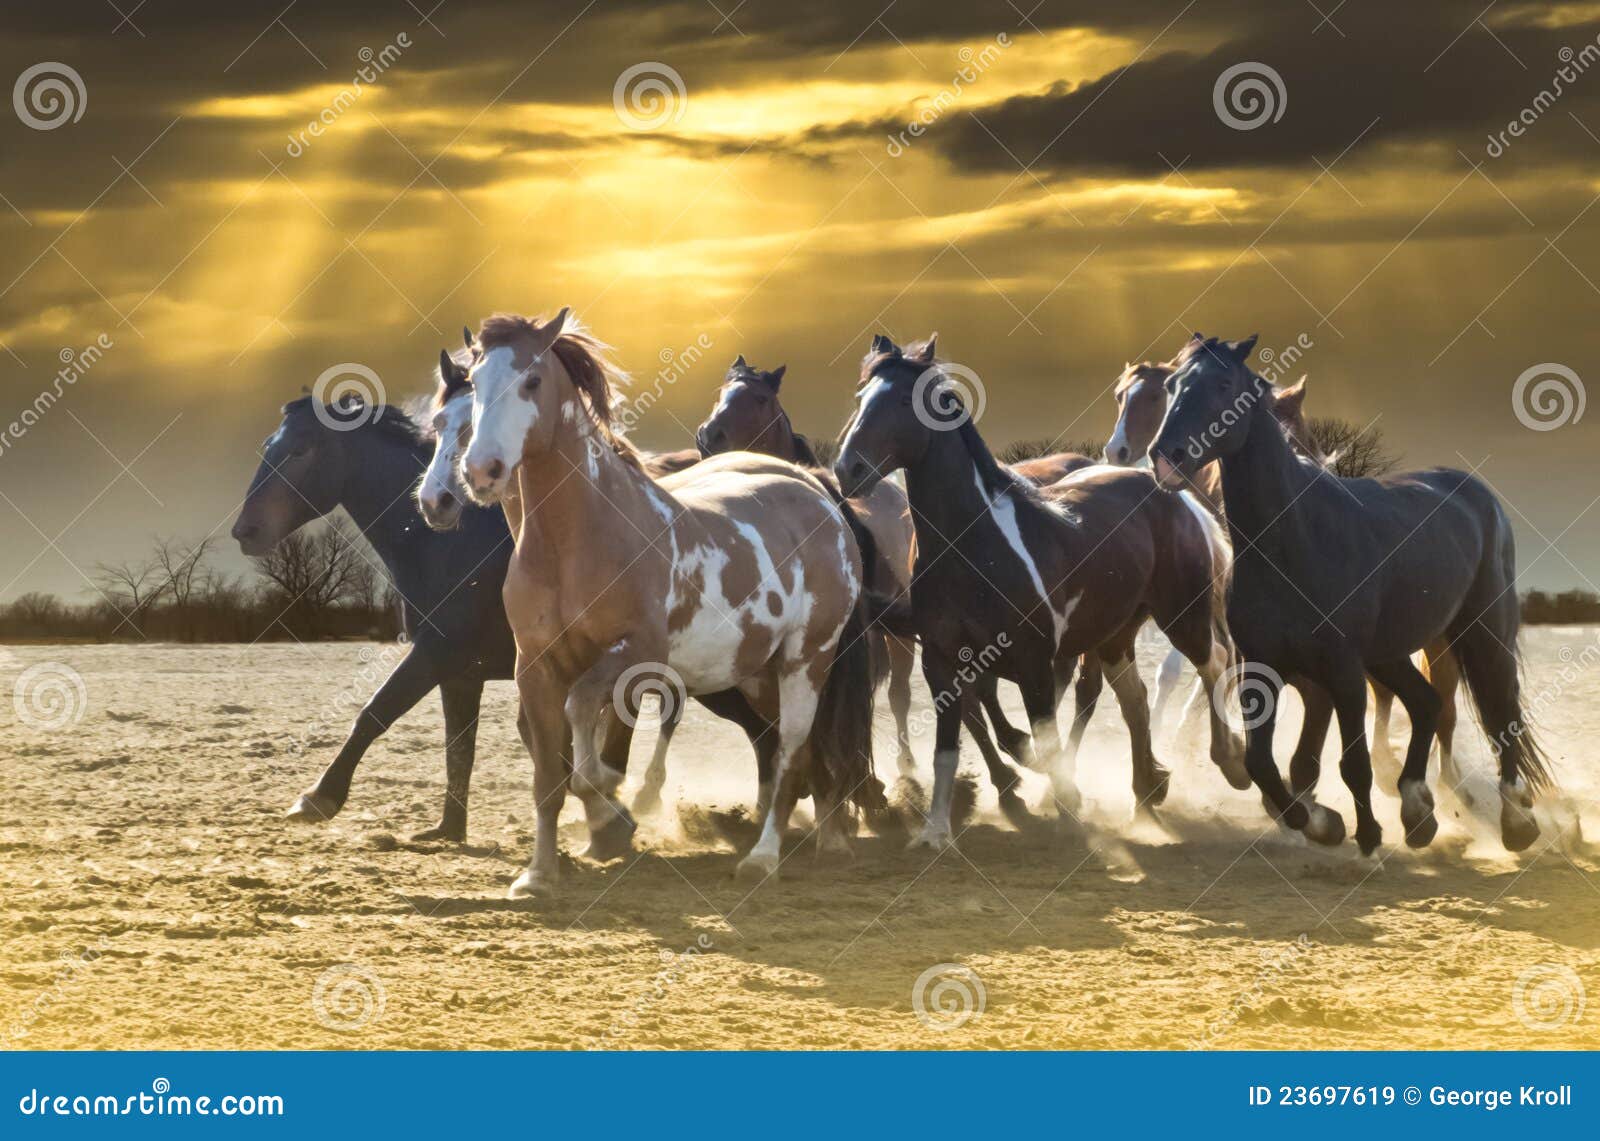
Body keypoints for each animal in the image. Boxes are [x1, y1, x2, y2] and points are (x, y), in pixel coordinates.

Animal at [455, 309, 883, 896]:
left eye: (532, 380)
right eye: (473, 382)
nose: (482, 470)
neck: (577, 541)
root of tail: (819, 495)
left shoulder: (637, 654)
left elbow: (584, 730)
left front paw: (613, 804)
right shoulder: (535, 667)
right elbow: (548, 774)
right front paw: (539, 875)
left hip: (807, 659)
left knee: (794, 751)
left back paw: (763, 858)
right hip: (760, 675)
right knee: (798, 748)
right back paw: (830, 840)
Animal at [834, 333, 1245, 849]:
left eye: (904, 402)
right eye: (860, 398)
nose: (848, 469)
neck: (974, 546)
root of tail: (1177, 498)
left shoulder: (1033, 661)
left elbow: (1041, 738)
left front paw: (1064, 803)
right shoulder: (942, 662)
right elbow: (951, 746)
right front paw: (934, 832)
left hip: (1181, 616)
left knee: (1214, 663)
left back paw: (1229, 761)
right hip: (1114, 636)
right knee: (1133, 700)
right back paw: (1147, 791)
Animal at [1149, 333, 1549, 854]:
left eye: (1222, 384)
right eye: (1172, 384)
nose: (1167, 455)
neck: (1294, 540)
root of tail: (1477, 493)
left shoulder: (1342, 671)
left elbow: (1351, 763)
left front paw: (1367, 833)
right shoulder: (1263, 665)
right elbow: (1264, 764)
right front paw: (1320, 822)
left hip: (1483, 634)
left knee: (1502, 712)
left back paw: (1515, 825)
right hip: (1388, 652)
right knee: (1427, 703)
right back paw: (1418, 813)